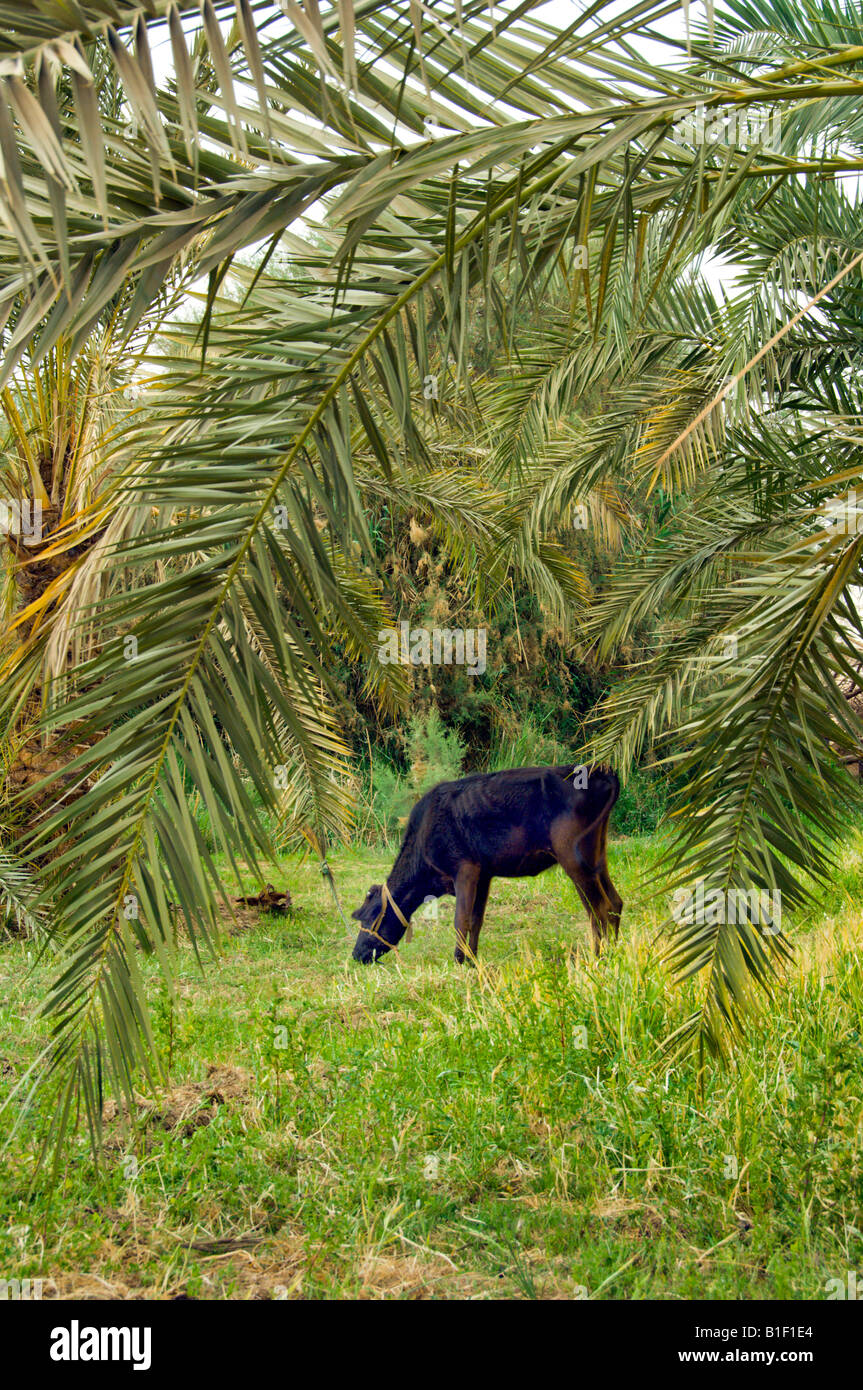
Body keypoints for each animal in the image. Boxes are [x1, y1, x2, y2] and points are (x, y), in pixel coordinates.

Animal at [351, 764, 621, 964]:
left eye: (369, 917)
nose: (356, 954)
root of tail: (600, 771)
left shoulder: (465, 869)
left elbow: (461, 920)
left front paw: (458, 961)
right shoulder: (483, 875)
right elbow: (476, 920)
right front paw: (471, 960)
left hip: (574, 859)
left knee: (599, 909)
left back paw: (599, 957)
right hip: (596, 858)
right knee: (614, 903)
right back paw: (612, 952)